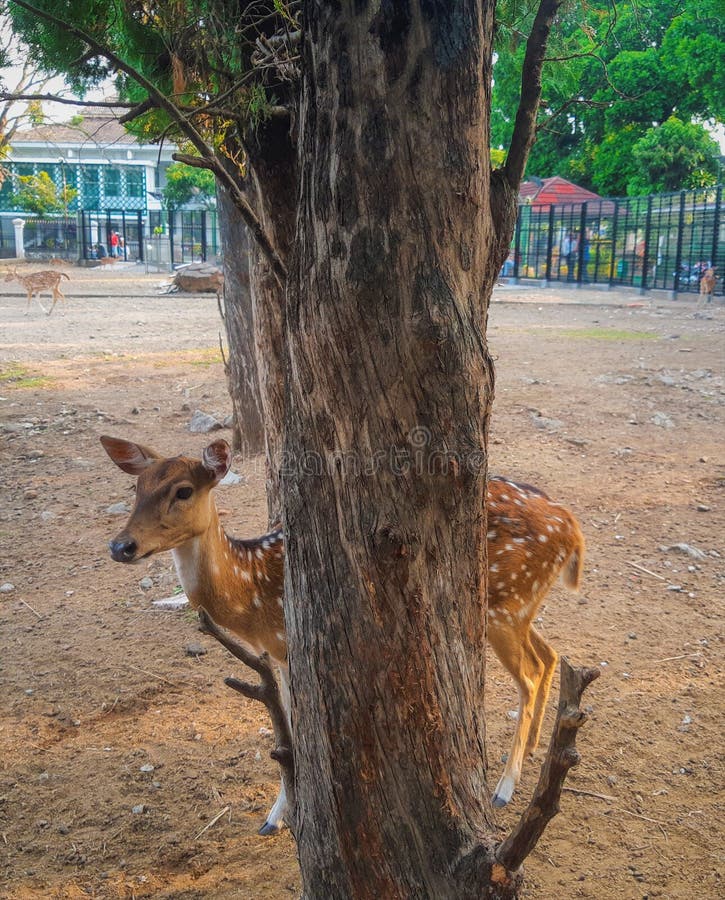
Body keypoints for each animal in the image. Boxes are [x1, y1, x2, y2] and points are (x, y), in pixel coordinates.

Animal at [100, 436, 584, 830]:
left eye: (183, 490)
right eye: (137, 489)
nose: (121, 545)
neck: (250, 595)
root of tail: (571, 527)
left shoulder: (289, 647)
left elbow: (290, 730)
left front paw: (278, 816)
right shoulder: (275, 652)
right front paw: (277, 813)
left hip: (507, 603)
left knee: (530, 673)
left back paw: (504, 787)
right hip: (518, 606)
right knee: (548, 656)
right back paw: (534, 747)